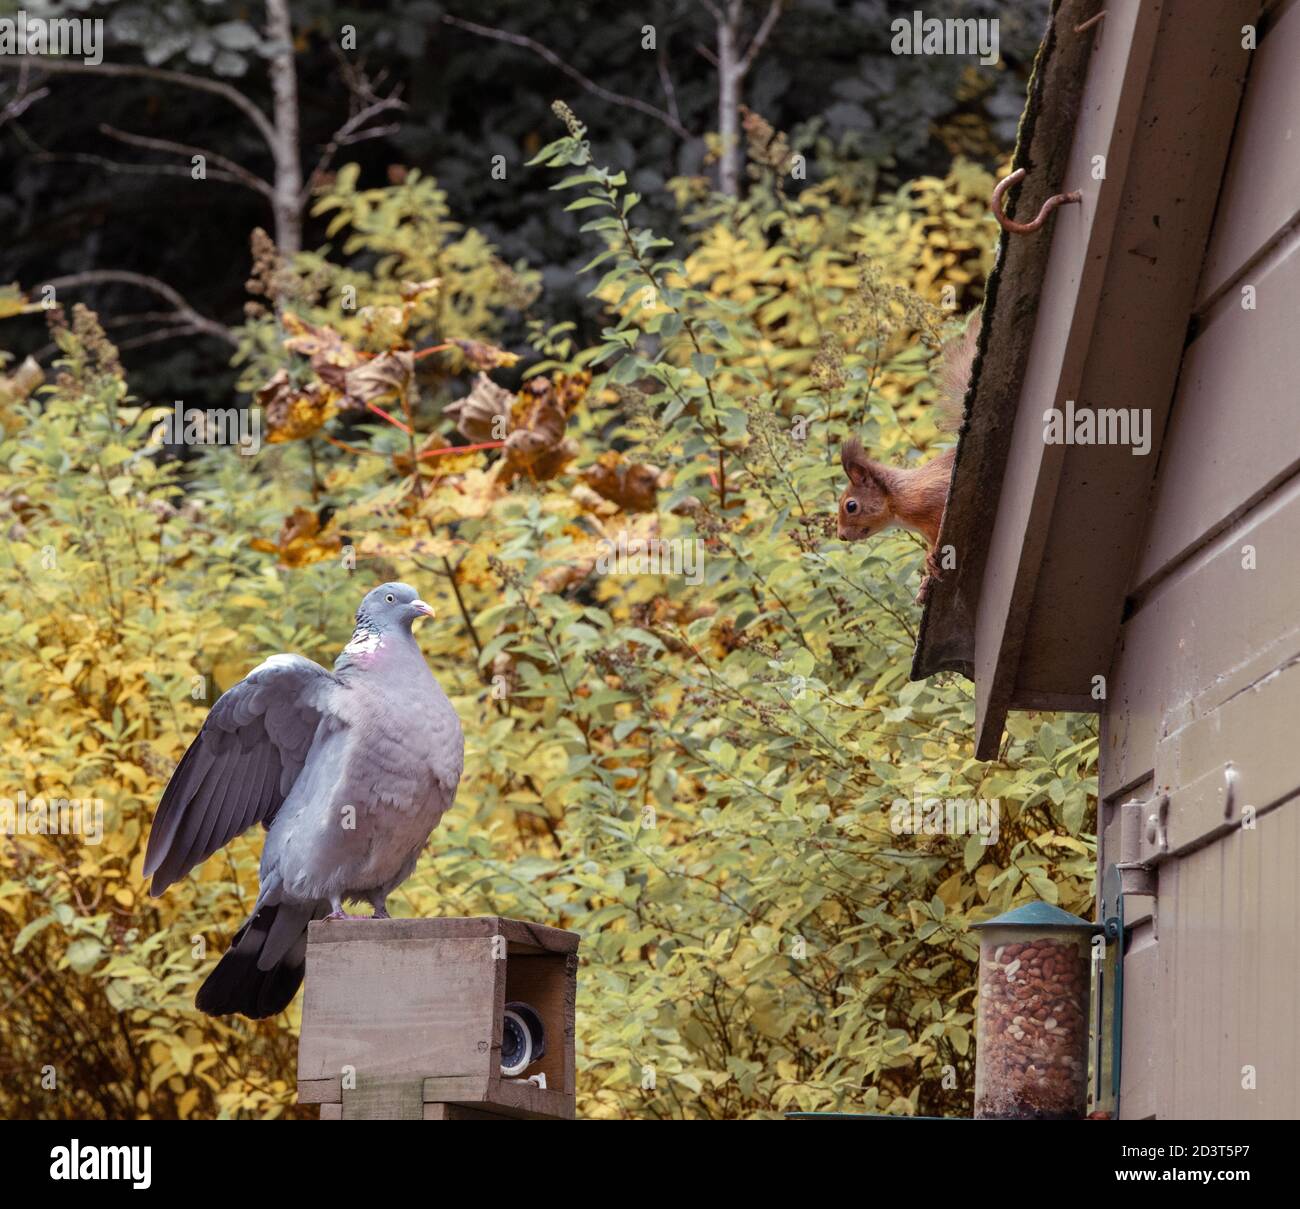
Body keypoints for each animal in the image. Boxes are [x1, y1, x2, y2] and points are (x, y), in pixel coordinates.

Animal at [836, 312, 979, 603]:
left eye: (851, 506)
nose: (841, 536)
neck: (898, 502)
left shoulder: (932, 496)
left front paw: (931, 562)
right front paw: (925, 580)